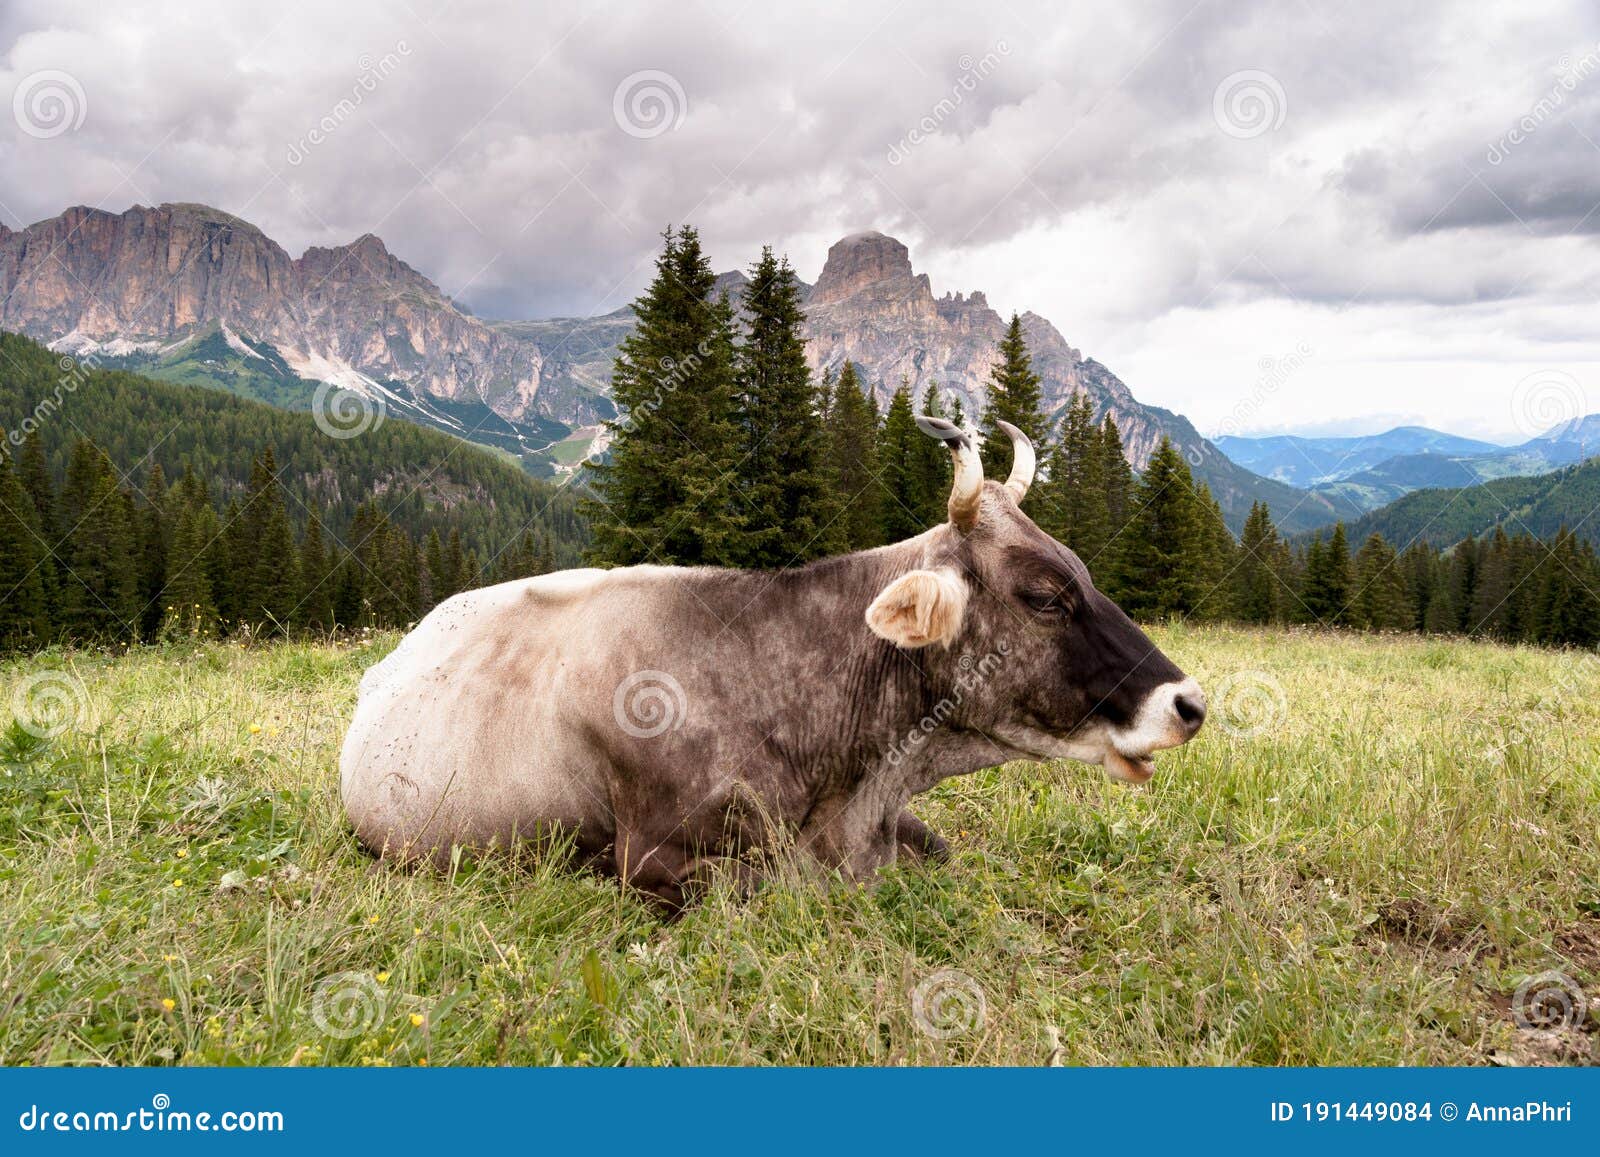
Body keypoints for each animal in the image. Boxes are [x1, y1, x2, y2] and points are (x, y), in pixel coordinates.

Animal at [339, 419, 1205, 909]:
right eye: (1045, 597)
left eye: (1084, 570)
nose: (1189, 702)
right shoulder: (652, 857)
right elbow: (788, 883)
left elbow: (940, 851)